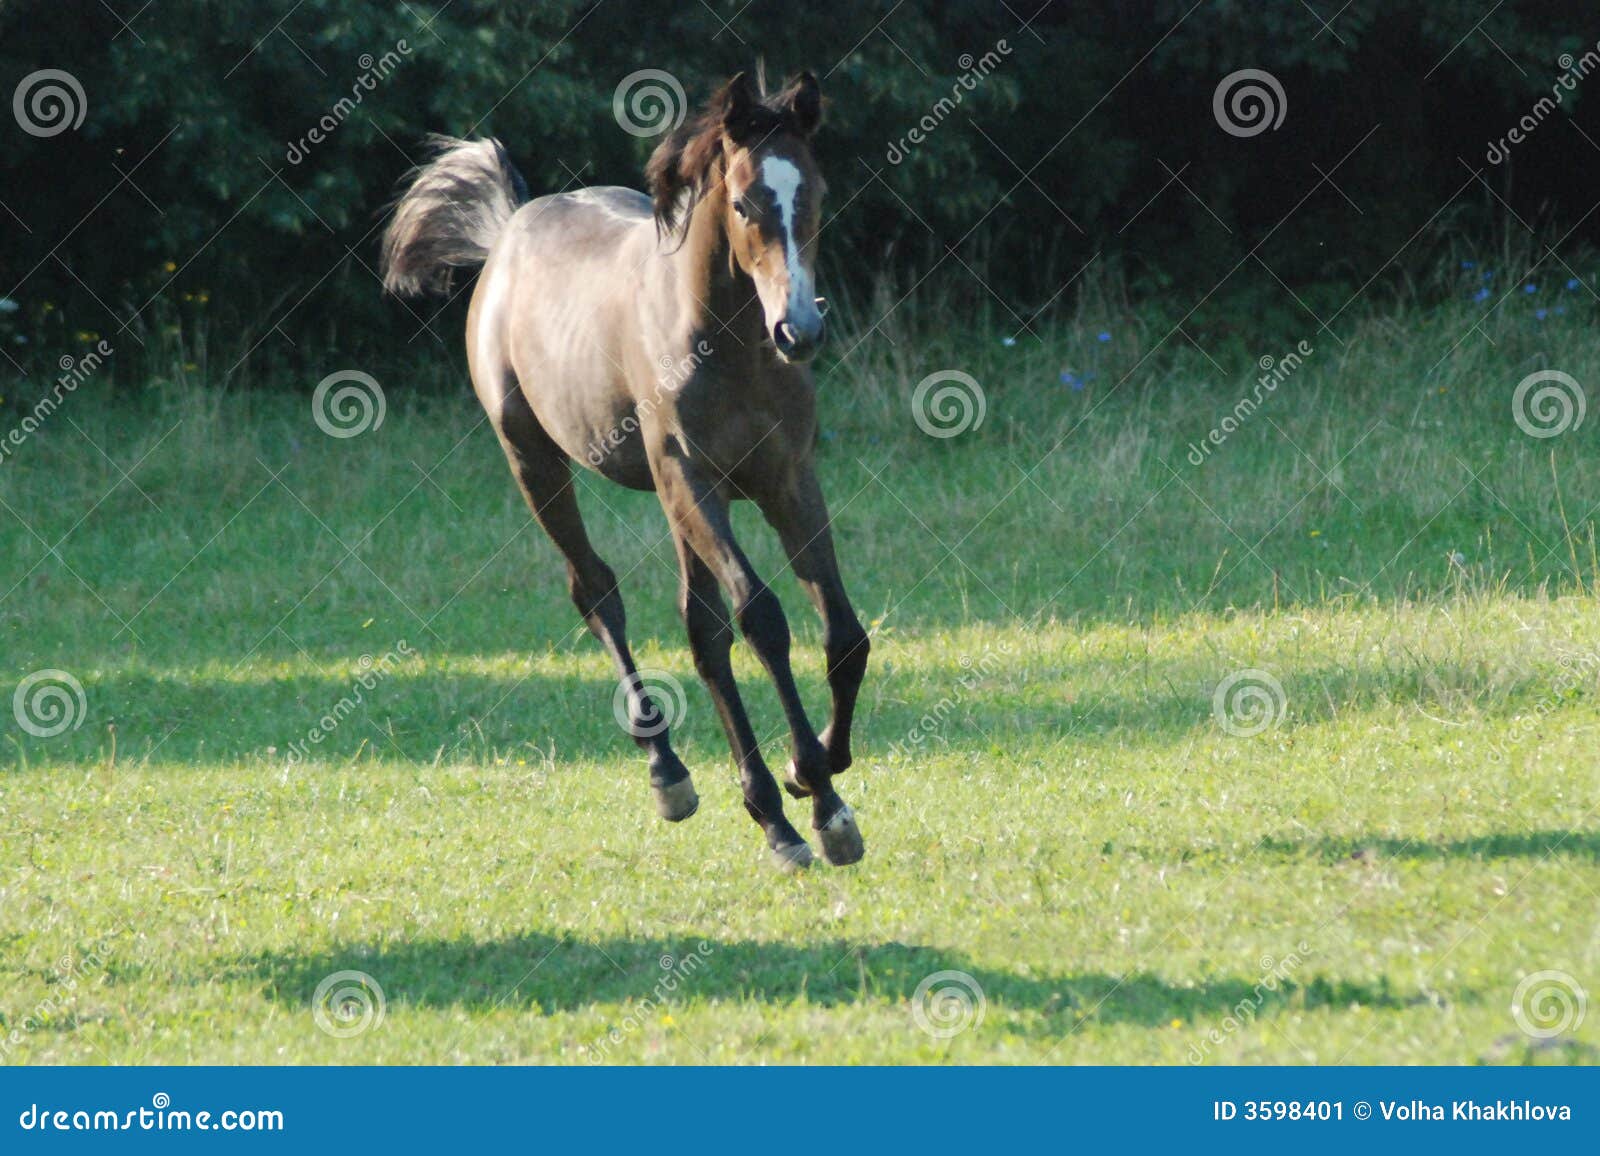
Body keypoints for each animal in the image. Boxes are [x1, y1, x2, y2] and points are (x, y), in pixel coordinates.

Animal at [380, 71, 869, 870]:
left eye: (817, 196)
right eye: (744, 203)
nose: (799, 331)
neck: (728, 347)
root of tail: (510, 230)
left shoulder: (788, 481)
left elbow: (843, 632)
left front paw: (812, 772)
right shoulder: (695, 483)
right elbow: (764, 619)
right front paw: (822, 801)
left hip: (675, 504)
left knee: (702, 631)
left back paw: (768, 813)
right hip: (538, 461)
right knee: (597, 593)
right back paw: (671, 774)